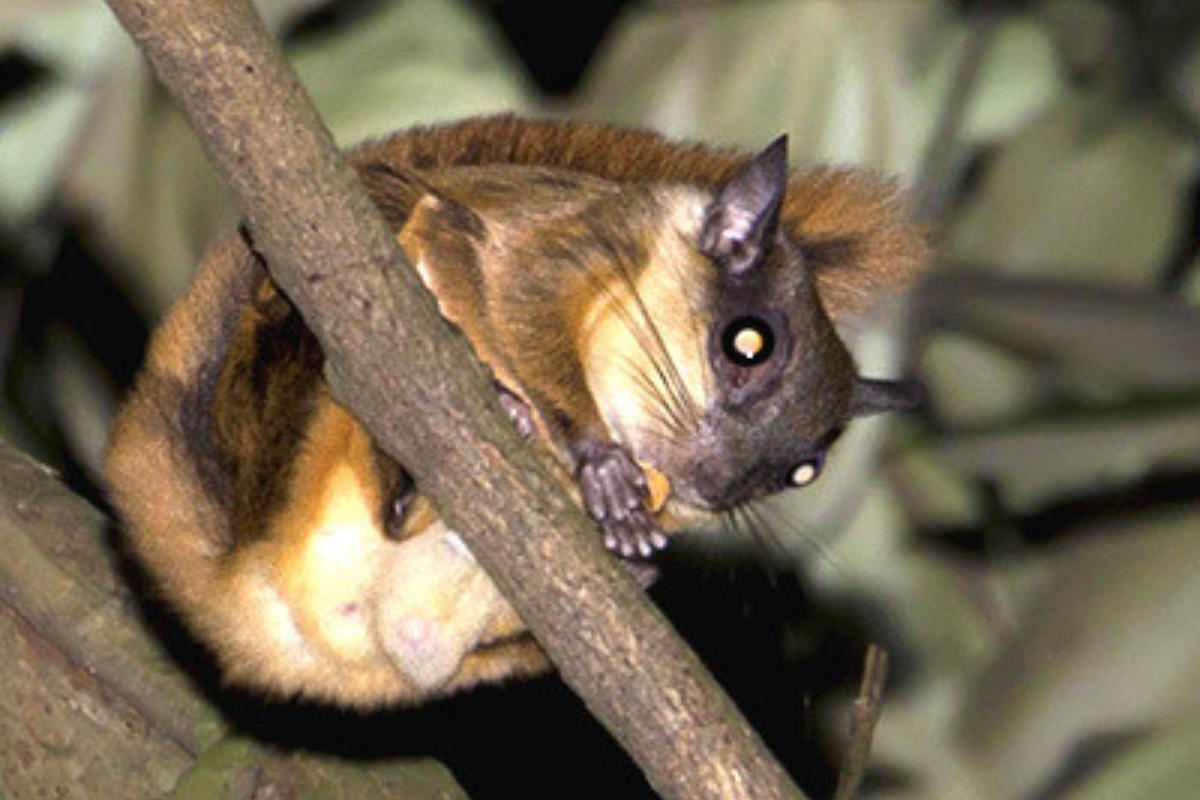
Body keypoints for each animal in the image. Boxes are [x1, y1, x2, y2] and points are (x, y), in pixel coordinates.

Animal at [105, 115, 927, 708]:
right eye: (747, 345)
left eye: (803, 470)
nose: (723, 487)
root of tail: (240, 589)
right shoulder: (557, 242)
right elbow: (505, 293)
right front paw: (598, 464)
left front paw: (632, 527)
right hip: (304, 381)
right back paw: (457, 443)